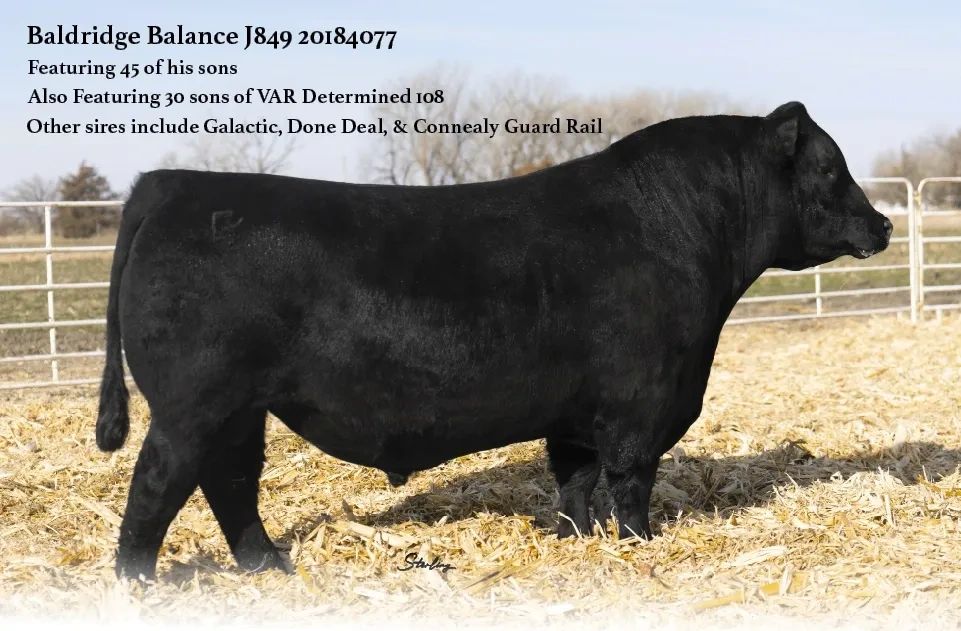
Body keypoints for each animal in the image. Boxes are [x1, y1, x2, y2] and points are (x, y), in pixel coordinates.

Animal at [95, 102, 892, 580]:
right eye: (829, 167)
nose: (882, 224)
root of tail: (172, 183)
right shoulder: (643, 401)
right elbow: (629, 482)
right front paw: (640, 546)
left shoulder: (578, 411)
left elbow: (573, 481)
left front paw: (573, 539)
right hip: (194, 403)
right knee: (160, 481)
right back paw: (137, 583)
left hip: (238, 408)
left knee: (229, 482)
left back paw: (269, 569)